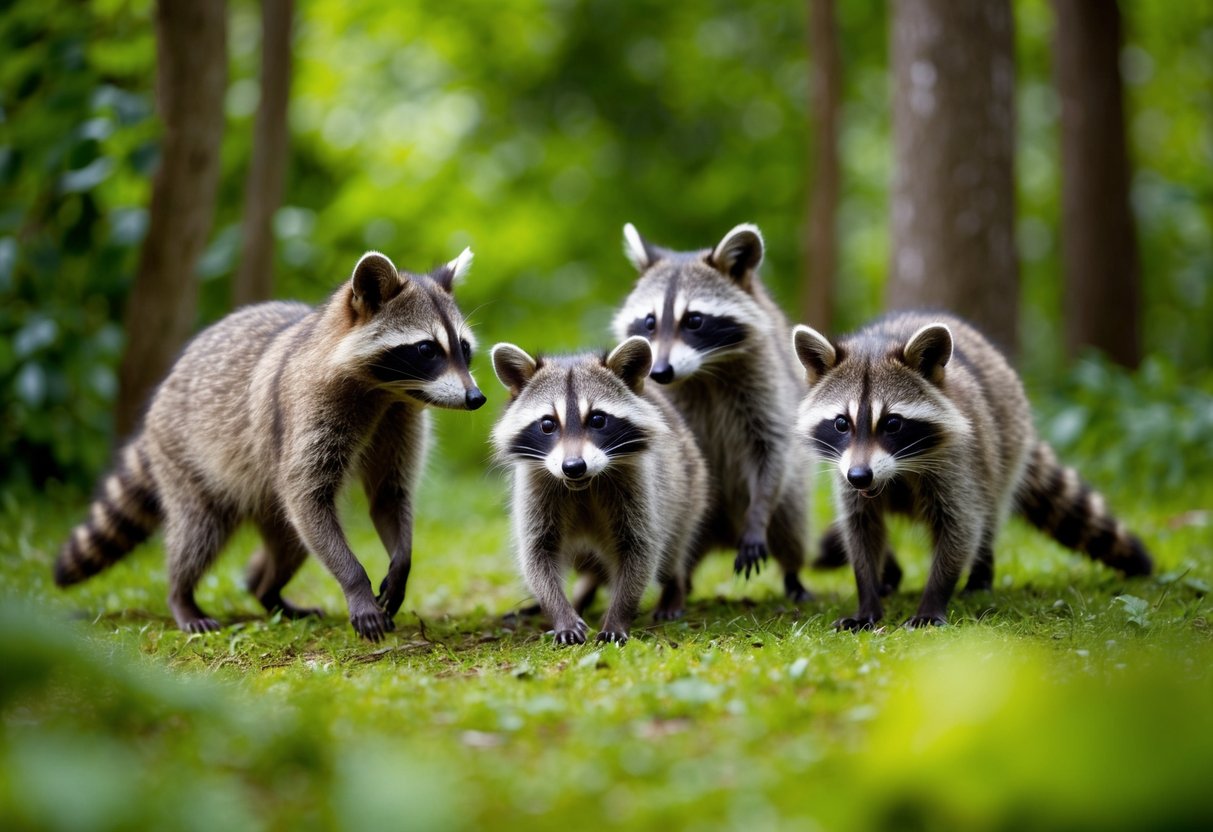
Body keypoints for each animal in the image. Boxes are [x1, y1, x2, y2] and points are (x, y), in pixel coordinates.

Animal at [54, 249, 486, 641]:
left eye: (464, 348)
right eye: (427, 349)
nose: (476, 397)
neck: (385, 391)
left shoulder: (399, 419)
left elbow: (388, 495)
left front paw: (401, 564)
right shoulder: (306, 411)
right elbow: (307, 495)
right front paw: (356, 583)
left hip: (265, 496)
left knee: (292, 542)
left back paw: (267, 590)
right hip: (185, 458)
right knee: (198, 533)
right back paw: (181, 595)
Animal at [490, 337, 708, 645]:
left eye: (597, 420)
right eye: (547, 424)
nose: (573, 466)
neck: (583, 485)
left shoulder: (640, 484)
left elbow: (639, 549)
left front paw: (618, 616)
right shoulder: (535, 487)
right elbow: (537, 553)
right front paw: (560, 613)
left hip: (688, 489)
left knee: (672, 551)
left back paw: (673, 588)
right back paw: (581, 595)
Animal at [613, 223, 811, 601]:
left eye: (694, 321)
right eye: (649, 322)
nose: (660, 371)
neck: (703, 373)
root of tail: (723, 536)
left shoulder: (765, 380)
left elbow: (771, 447)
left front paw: (758, 514)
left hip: (791, 496)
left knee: (791, 526)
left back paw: (793, 574)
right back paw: (677, 584)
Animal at [791, 312, 1153, 630]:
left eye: (893, 424)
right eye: (841, 423)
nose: (860, 476)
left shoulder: (957, 464)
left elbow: (961, 527)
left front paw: (934, 599)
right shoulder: (847, 474)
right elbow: (860, 530)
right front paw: (867, 599)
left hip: (1005, 447)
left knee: (989, 514)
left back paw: (980, 573)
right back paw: (889, 577)